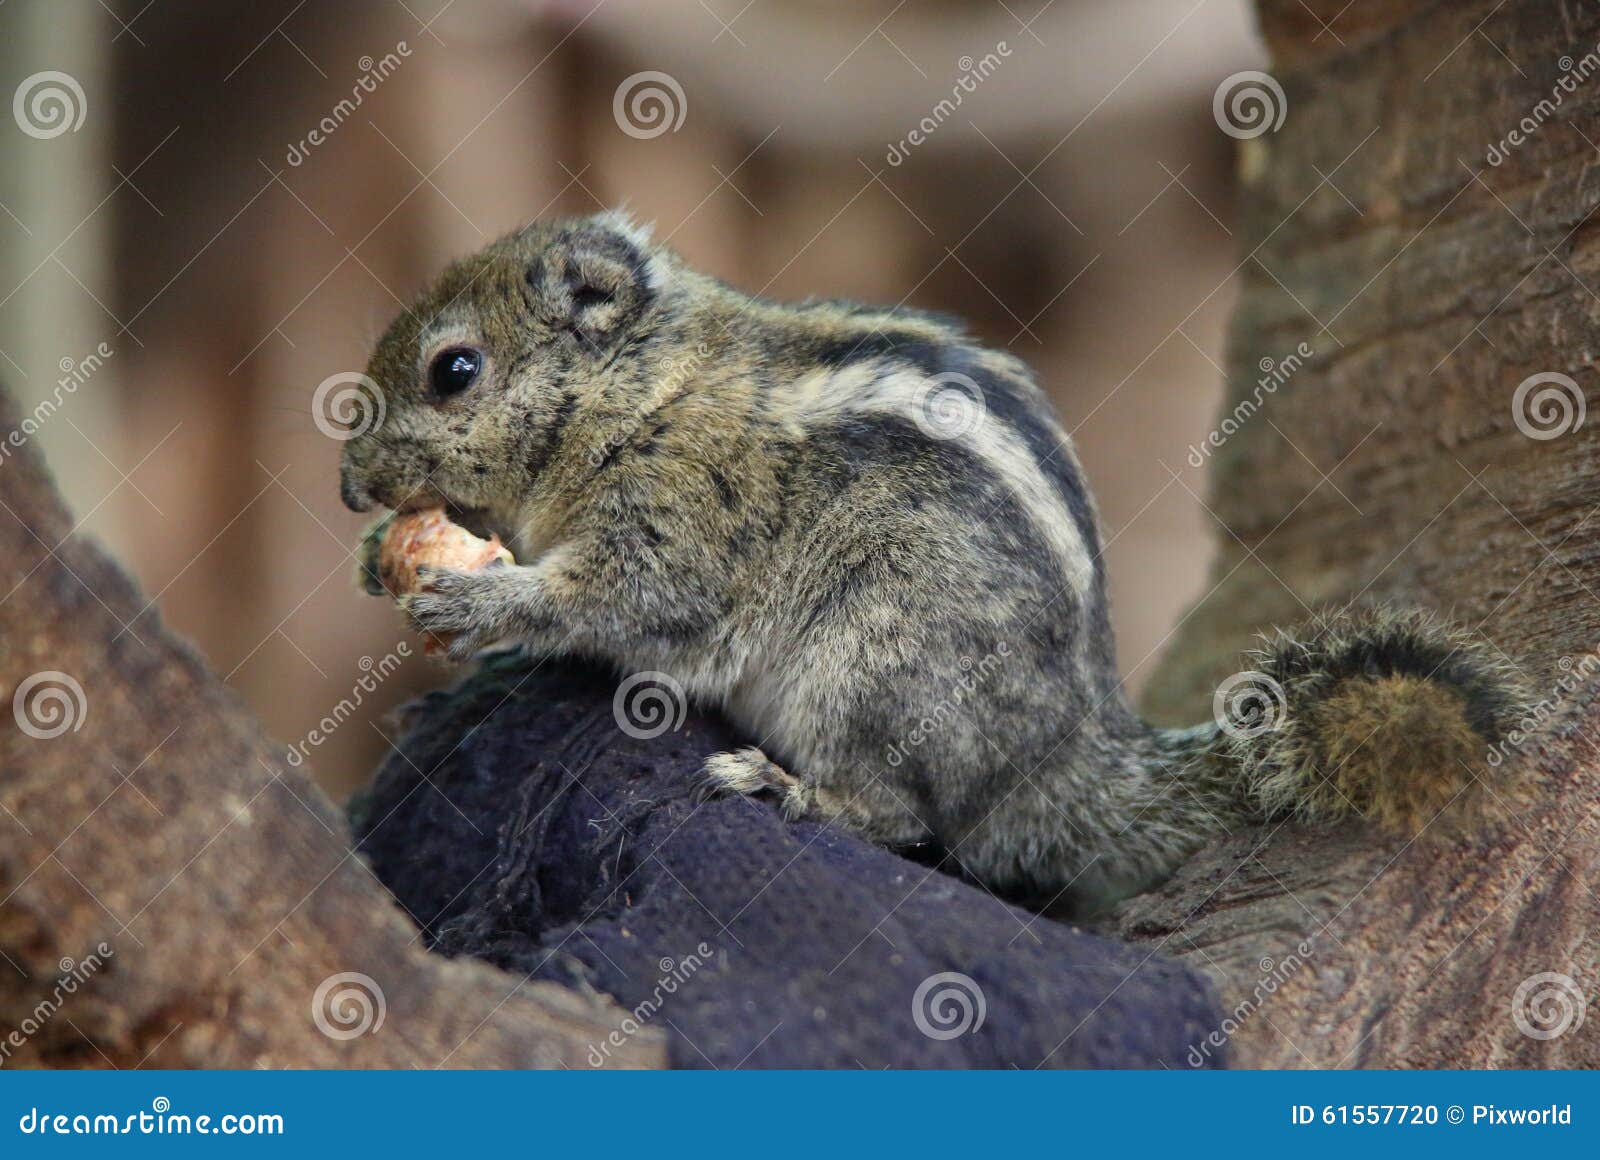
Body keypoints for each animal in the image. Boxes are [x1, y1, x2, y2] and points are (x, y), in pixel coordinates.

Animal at [338, 210, 1527, 914]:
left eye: (454, 370)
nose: (351, 485)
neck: (644, 385)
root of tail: (1067, 754)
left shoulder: (681, 519)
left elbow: (623, 599)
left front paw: (484, 600)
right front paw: (381, 566)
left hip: (868, 668)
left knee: (908, 820)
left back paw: (789, 789)